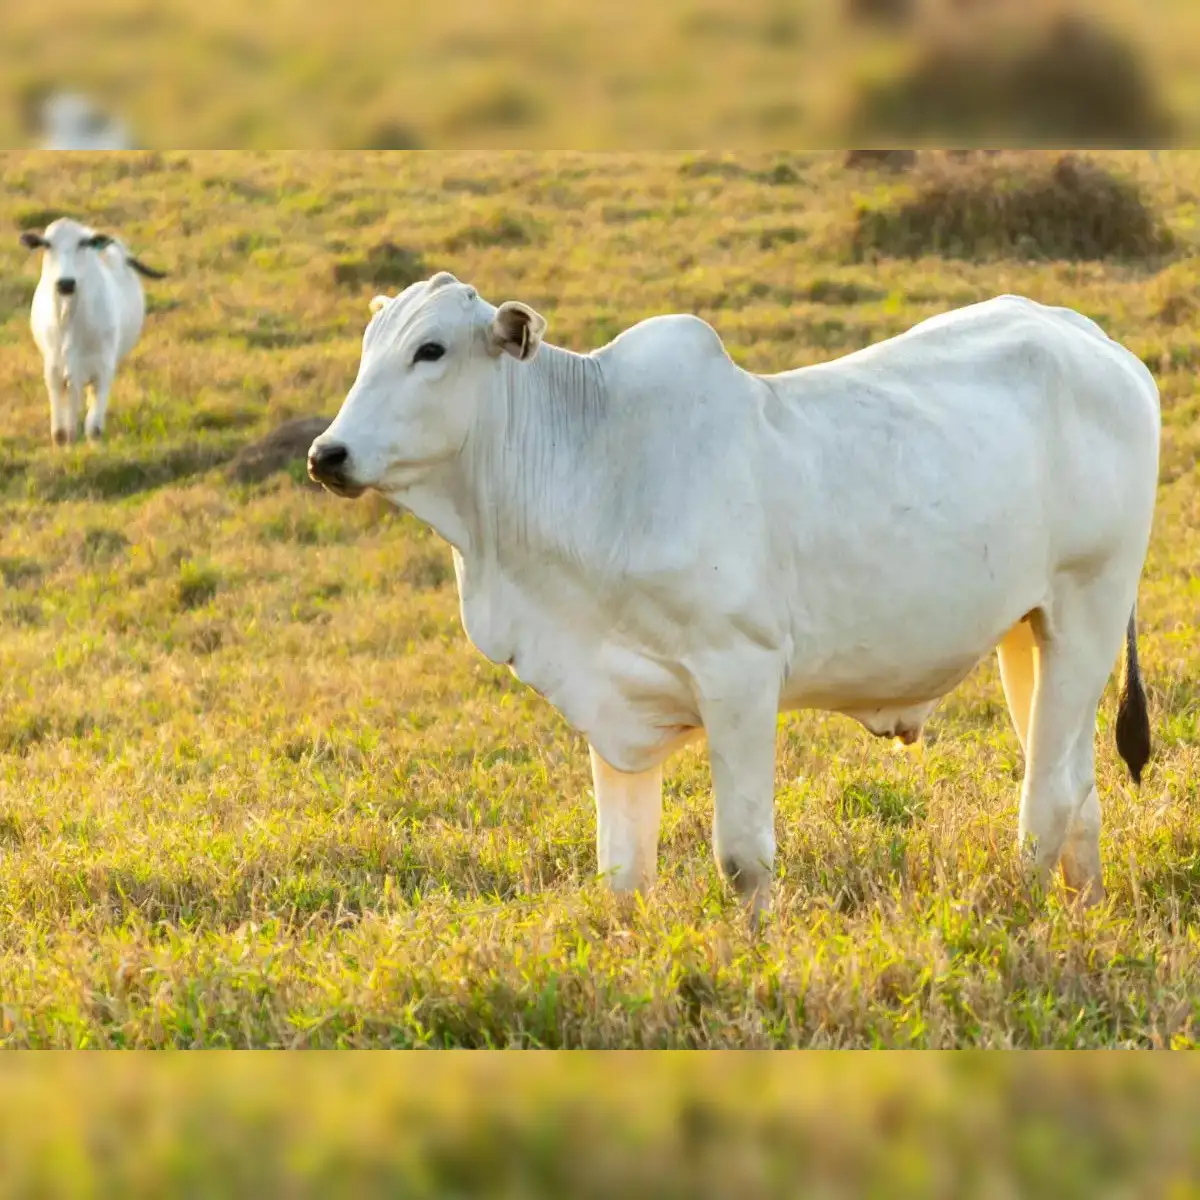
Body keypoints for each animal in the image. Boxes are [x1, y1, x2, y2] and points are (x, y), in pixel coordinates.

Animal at [21, 218, 167, 445]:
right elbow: (60, 432)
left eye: (83, 243)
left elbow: (94, 428)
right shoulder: (53, 369)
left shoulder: (104, 368)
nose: (66, 283)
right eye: (47, 244)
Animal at [308, 274, 1159, 924]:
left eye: (430, 350)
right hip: (1028, 632)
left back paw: (1016, 915)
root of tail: (1093, 339)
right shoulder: (610, 696)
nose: (327, 454)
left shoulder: (740, 675)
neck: (594, 463)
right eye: (369, 348)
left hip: (1090, 605)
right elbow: (622, 871)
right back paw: (1088, 912)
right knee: (1079, 788)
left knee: (1048, 797)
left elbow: (743, 859)